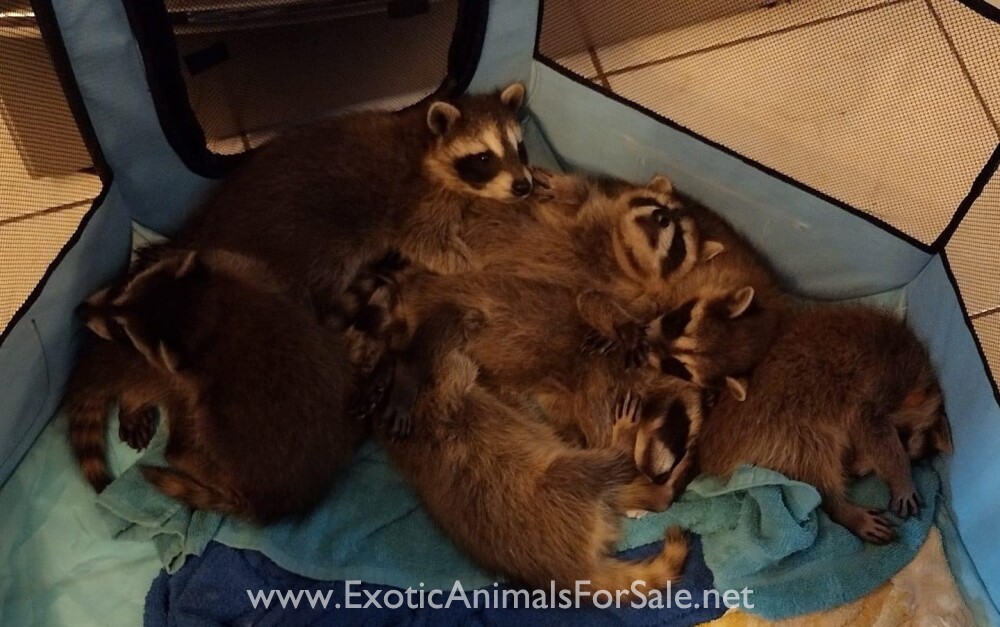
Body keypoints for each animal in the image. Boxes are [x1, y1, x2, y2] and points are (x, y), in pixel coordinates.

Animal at [67, 249, 367, 522]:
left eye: (121, 330)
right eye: (123, 285)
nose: (80, 311)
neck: (220, 314)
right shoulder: (250, 271)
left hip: (221, 431)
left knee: (183, 439)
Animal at [697, 305, 953, 544]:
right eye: (900, 437)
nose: (854, 471)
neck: (916, 381)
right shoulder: (879, 384)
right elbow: (870, 427)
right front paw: (900, 475)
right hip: (782, 425)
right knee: (816, 457)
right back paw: (841, 508)